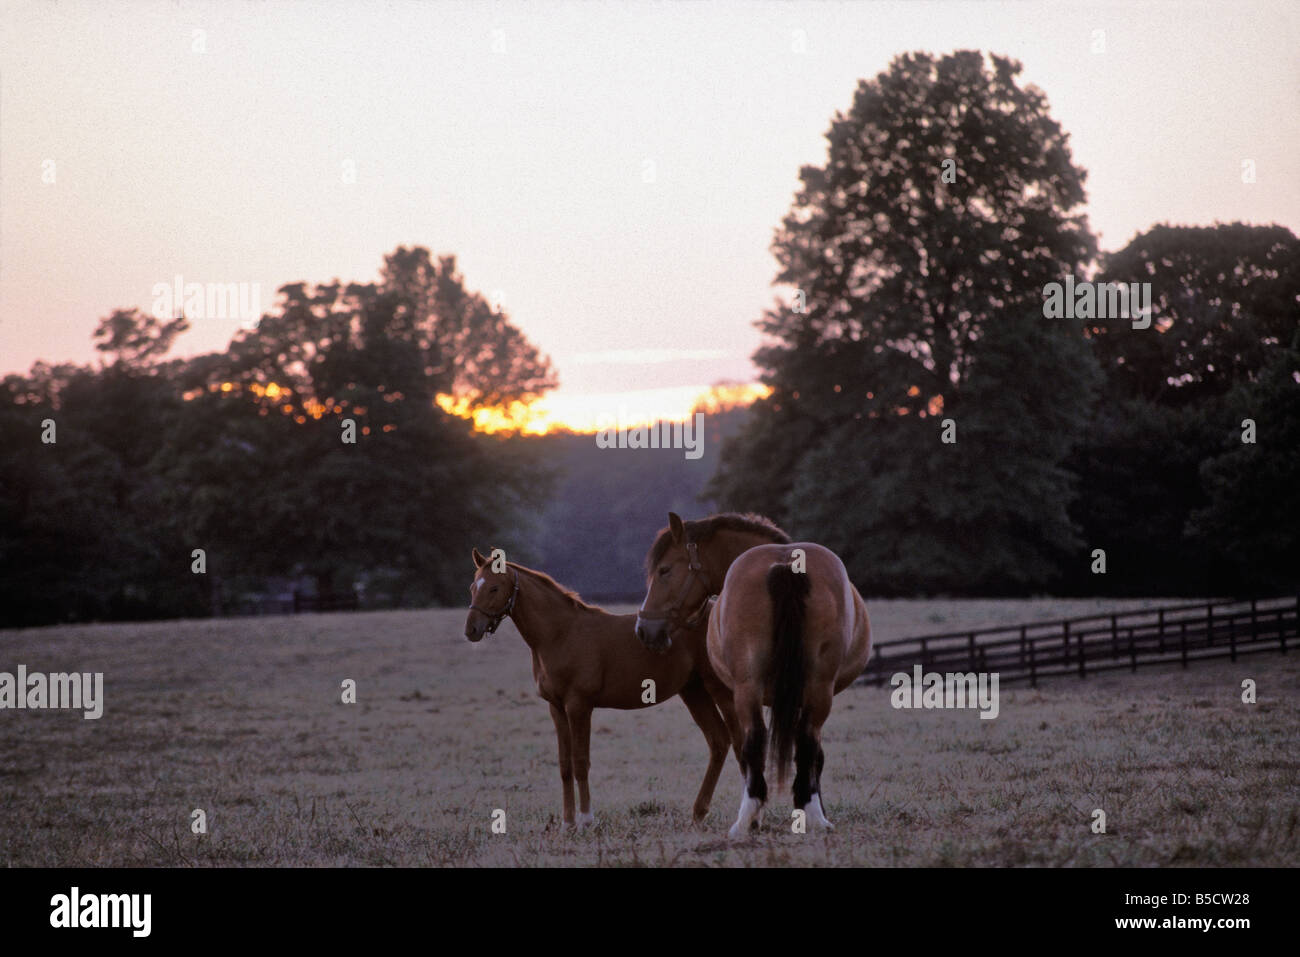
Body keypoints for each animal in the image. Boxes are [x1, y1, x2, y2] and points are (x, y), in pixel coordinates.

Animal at [464, 548, 737, 828]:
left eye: (494, 588)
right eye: (473, 587)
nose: (471, 629)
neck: (560, 634)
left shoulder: (579, 706)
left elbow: (581, 762)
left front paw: (586, 819)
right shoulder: (556, 708)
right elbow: (565, 766)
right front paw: (567, 823)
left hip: (719, 689)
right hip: (694, 691)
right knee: (719, 741)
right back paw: (699, 812)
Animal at [635, 513, 871, 838]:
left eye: (664, 570)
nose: (644, 629)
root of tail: (785, 565)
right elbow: (813, 754)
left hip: (750, 688)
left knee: (756, 741)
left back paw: (747, 817)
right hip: (814, 686)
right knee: (802, 740)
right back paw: (811, 813)